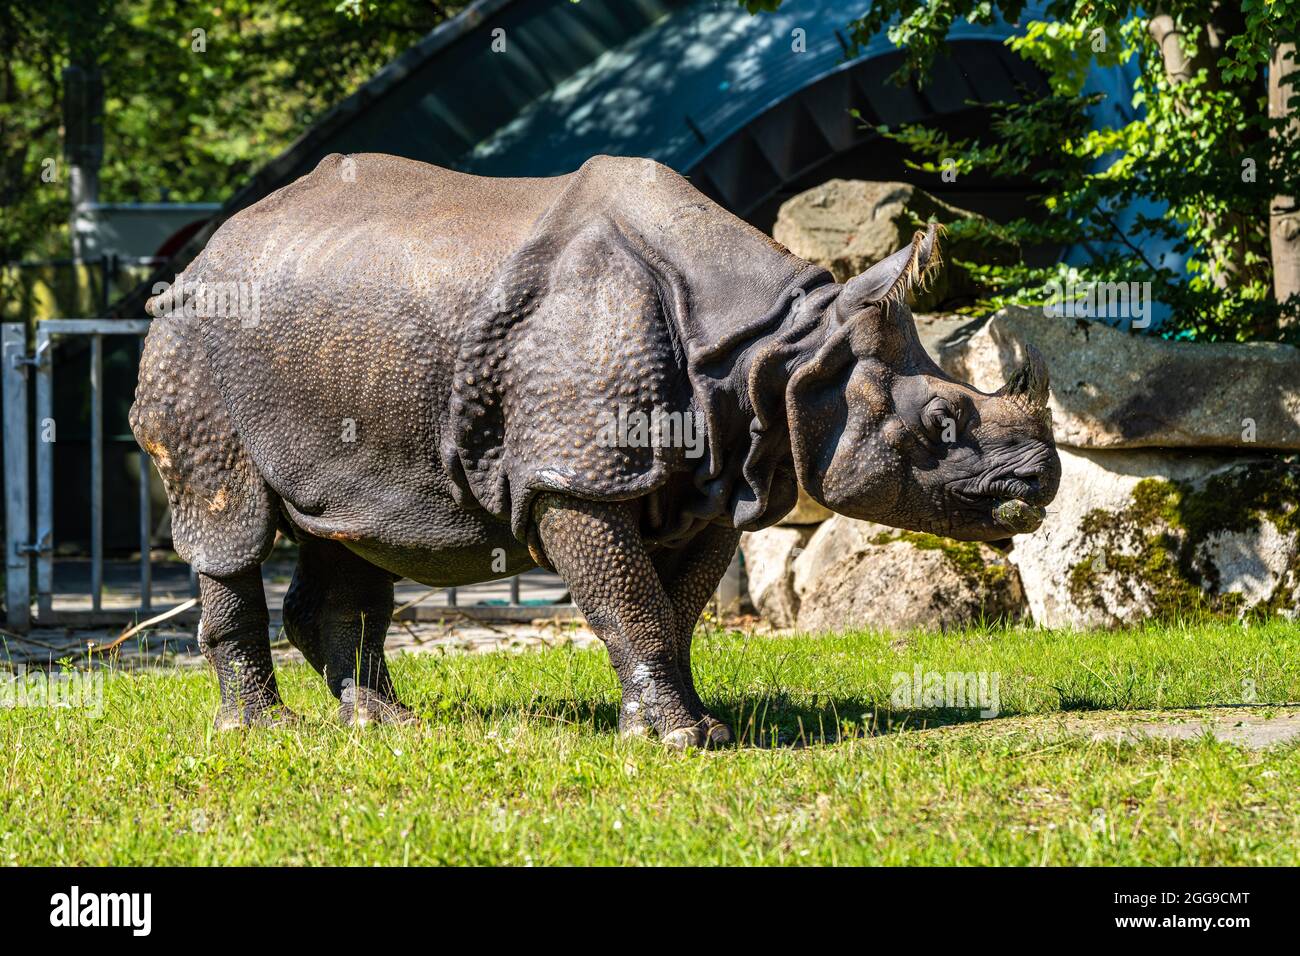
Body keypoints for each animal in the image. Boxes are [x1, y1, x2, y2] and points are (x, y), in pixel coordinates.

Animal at [131, 153, 1059, 747]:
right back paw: (265, 734)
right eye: (943, 420)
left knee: (351, 528)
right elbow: (629, 600)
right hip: (195, 338)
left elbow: (673, 608)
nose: (1045, 478)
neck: (783, 353)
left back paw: (390, 729)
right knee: (229, 522)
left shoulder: (713, 476)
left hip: (337, 349)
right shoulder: (574, 477)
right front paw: (678, 743)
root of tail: (210, 247)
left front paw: (690, 725)